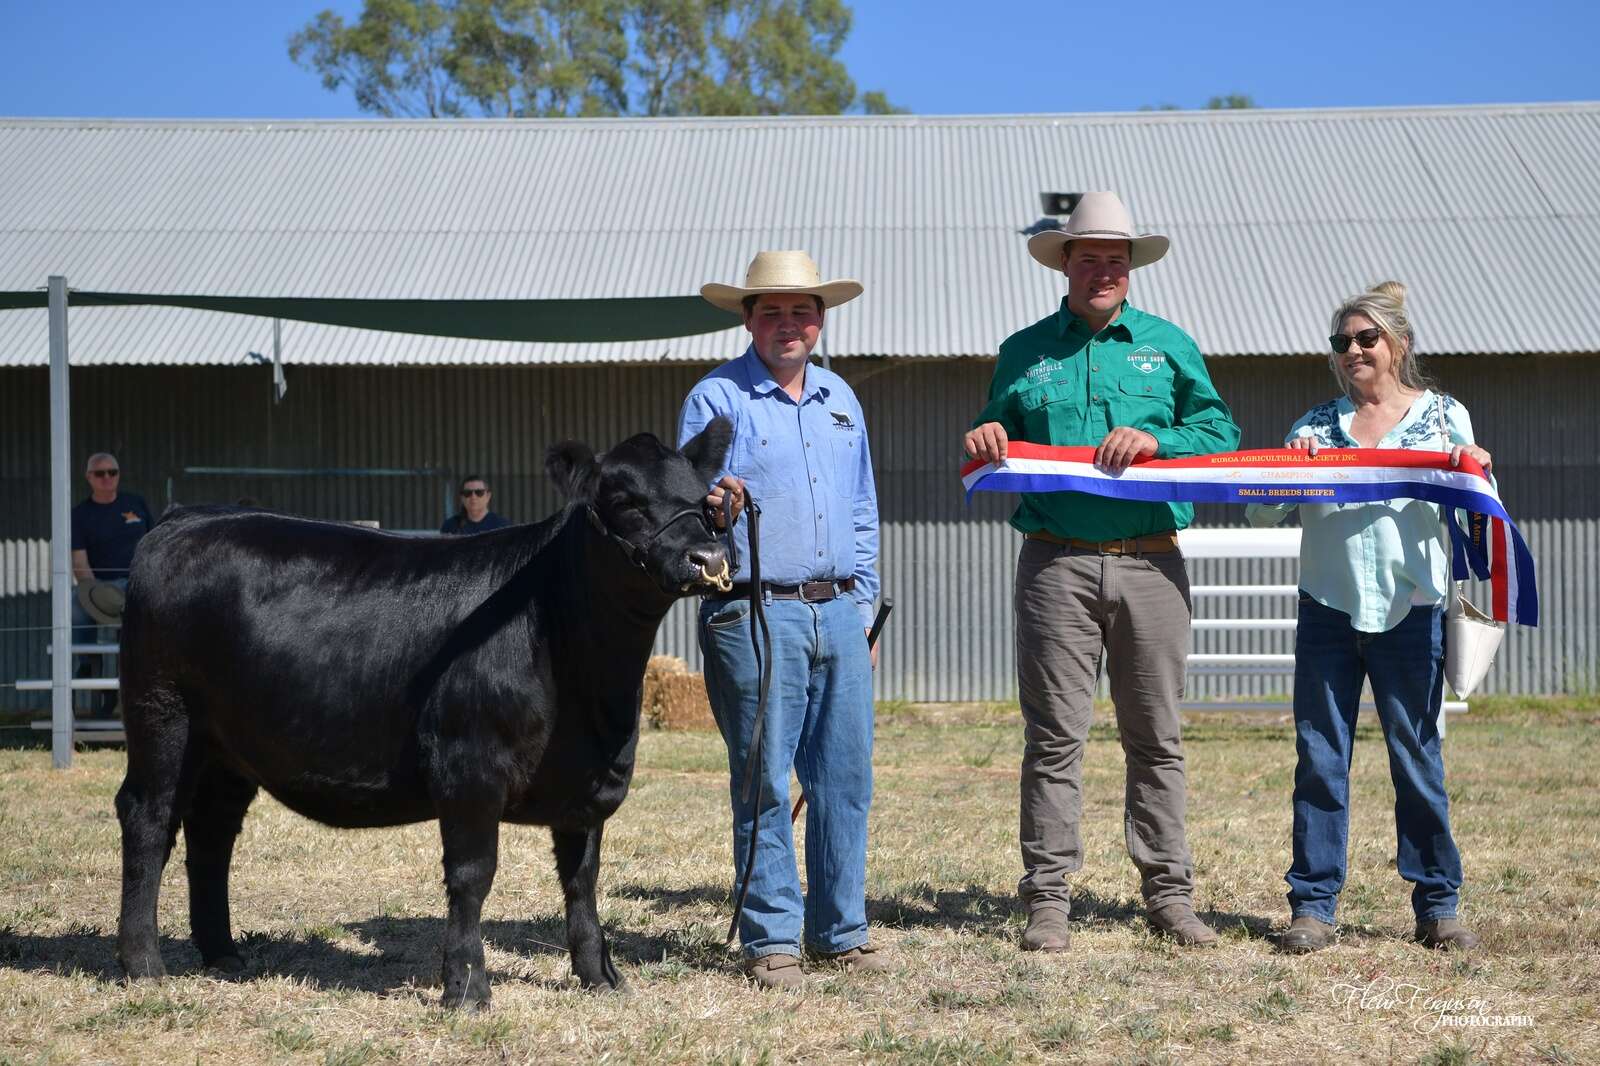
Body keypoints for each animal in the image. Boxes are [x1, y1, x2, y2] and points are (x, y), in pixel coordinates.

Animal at [113, 418, 733, 1008]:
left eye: (705, 502)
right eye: (626, 500)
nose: (708, 558)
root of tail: (185, 516)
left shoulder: (588, 777)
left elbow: (581, 878)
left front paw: (599, 977)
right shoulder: (468, 765)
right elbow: (472, 875)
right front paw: (467, 987)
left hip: (228, 746)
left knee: (212, 831)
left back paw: (223, 953)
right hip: (162, 716)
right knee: (148, 818)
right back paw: (142, 963)